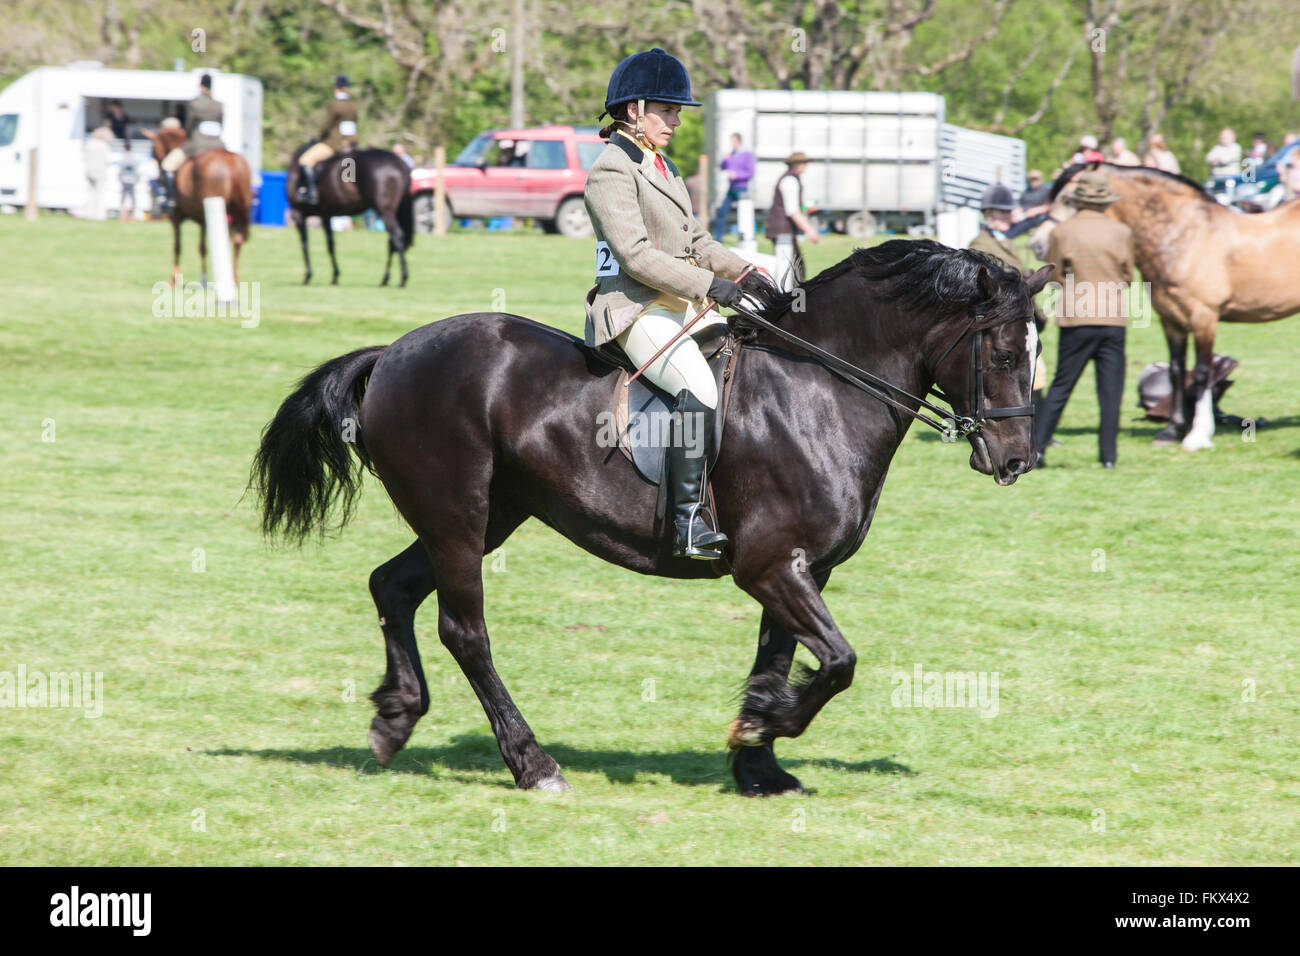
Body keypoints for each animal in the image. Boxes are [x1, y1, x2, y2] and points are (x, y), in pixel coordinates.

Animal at [143, 126, 252, 288]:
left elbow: (177, 246)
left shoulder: (177, 217)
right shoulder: (202, 221)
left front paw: (174, 279)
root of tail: (231, 161)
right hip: (236, 212)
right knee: (237, 241)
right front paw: (203, 279)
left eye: (154, 149)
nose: (159, 179)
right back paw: (233, 280)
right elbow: (202, 249)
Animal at [251, 240, 1050, 796]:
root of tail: (394, 353)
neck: (820, 389)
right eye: (1004, 353)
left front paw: (758, 758)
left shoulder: (799, 569)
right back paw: (533, 763)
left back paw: (393, 720)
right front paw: (765, 725)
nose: (1016, 459)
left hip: (489, 515)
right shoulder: (769, 564)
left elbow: (782, 657)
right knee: (464, 630)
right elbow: (839, 662)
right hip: (459, 519)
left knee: (392, 587)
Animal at [286, 144, 414, 287]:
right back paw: (385, 279)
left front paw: (308, 276)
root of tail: (398, 163)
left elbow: (305, 244)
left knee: (396, 237)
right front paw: (335, 277)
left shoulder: (298, 214)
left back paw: (402, 278)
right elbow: (330, 245)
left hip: (385, 212)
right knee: (392, 242)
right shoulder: (326, 215)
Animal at [1035, 162, 1300, 450]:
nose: (1037, 244)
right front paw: (1172, 431)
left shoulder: (1204, 317)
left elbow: (1202, 372)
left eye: (1068, 199)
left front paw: (1198, 435)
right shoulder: (1171, 320)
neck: (1185, 237)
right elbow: (1176, 372)